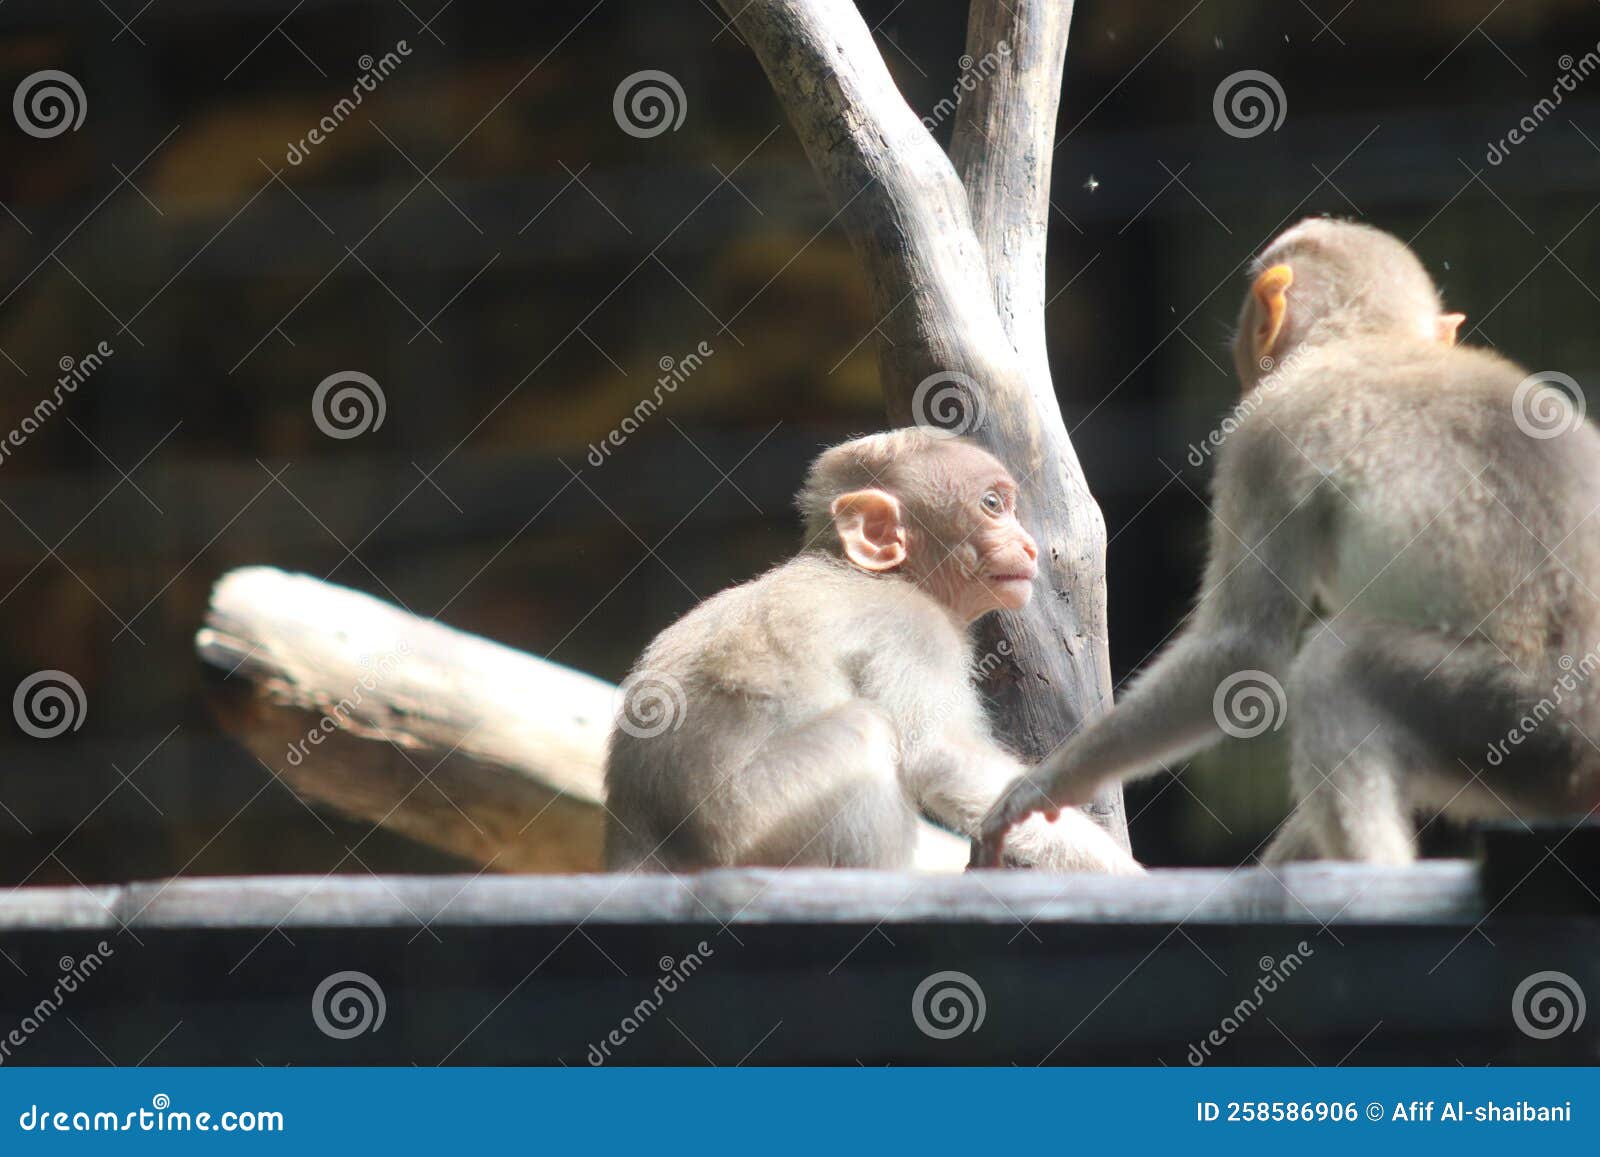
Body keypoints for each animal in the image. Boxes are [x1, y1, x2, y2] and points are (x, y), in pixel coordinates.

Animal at [603, 428, 1143, 874]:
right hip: (751, 826)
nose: (1029, 546)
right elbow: (941, 756)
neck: (878, 574)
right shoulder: (915, 629)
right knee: (862, 730)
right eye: (992, 504)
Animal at [974, 216, 1600, 867]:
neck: (1363, 340)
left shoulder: (1262, 437)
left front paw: (1045, 785)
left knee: (1332, 670)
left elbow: (1240, 650)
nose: (1245, 352)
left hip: (1537, 727)